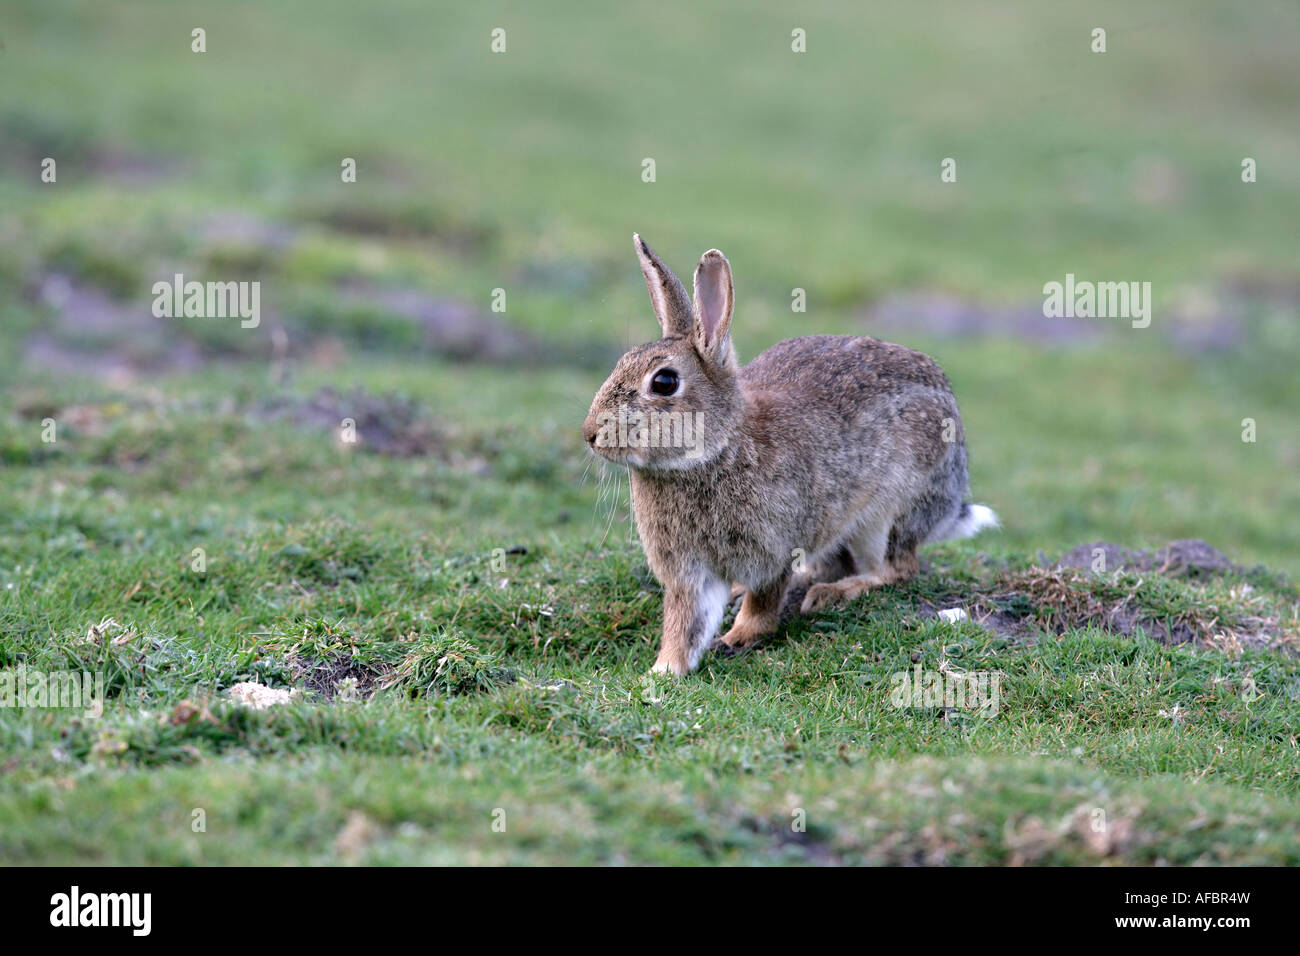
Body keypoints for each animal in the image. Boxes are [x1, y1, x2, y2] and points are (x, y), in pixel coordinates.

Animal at [582, 235, 998, 676]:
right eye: (621, 363)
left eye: (664, 382)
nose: (590, 434)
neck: (713, 452)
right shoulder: (689, 573)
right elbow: (686, 622)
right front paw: (663, 671)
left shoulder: (774, 550)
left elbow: (762, 605)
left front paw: (737, 638)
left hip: (889, 512)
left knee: (896, 570)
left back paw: (832, 593)